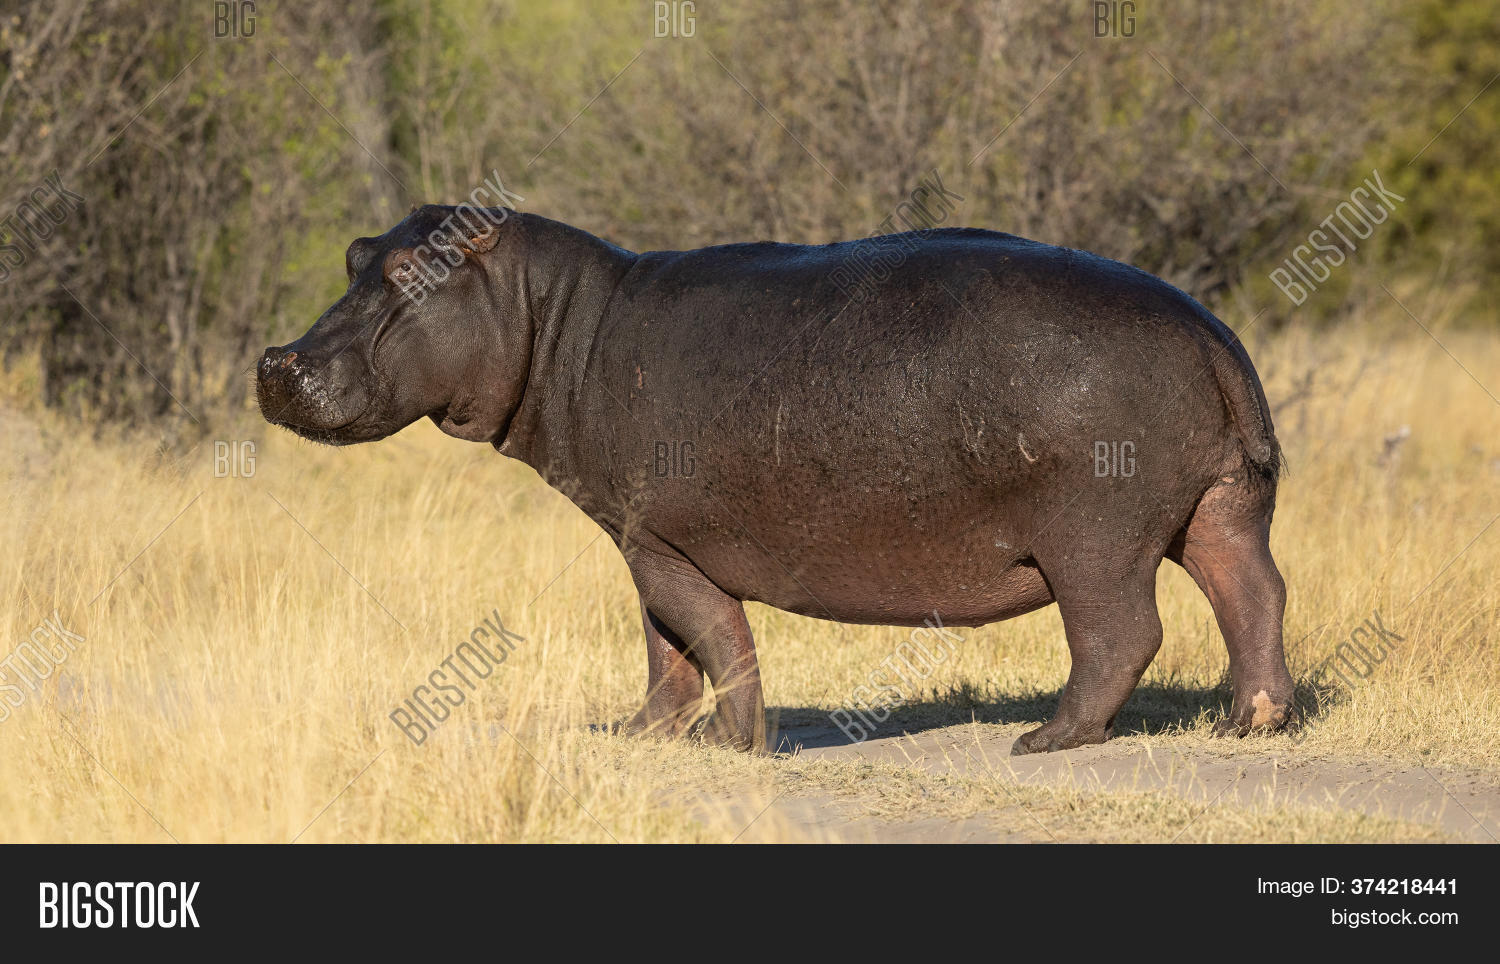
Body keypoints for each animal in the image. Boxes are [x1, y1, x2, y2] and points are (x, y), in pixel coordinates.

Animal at [257, 204, 1295, 755]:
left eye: (411, 268)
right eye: (355, 256)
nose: (276, 361)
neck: (559, 320)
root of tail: (1209, 331)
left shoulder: (661, 542)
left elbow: (714, 635)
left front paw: (732, 744)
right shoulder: (644, 541)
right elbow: (666, 647)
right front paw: (634, 734)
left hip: (1094, 539)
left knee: (1122, 633)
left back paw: (1044, 739)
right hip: (1222, 509)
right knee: (1254, 595)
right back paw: (1252, 724)